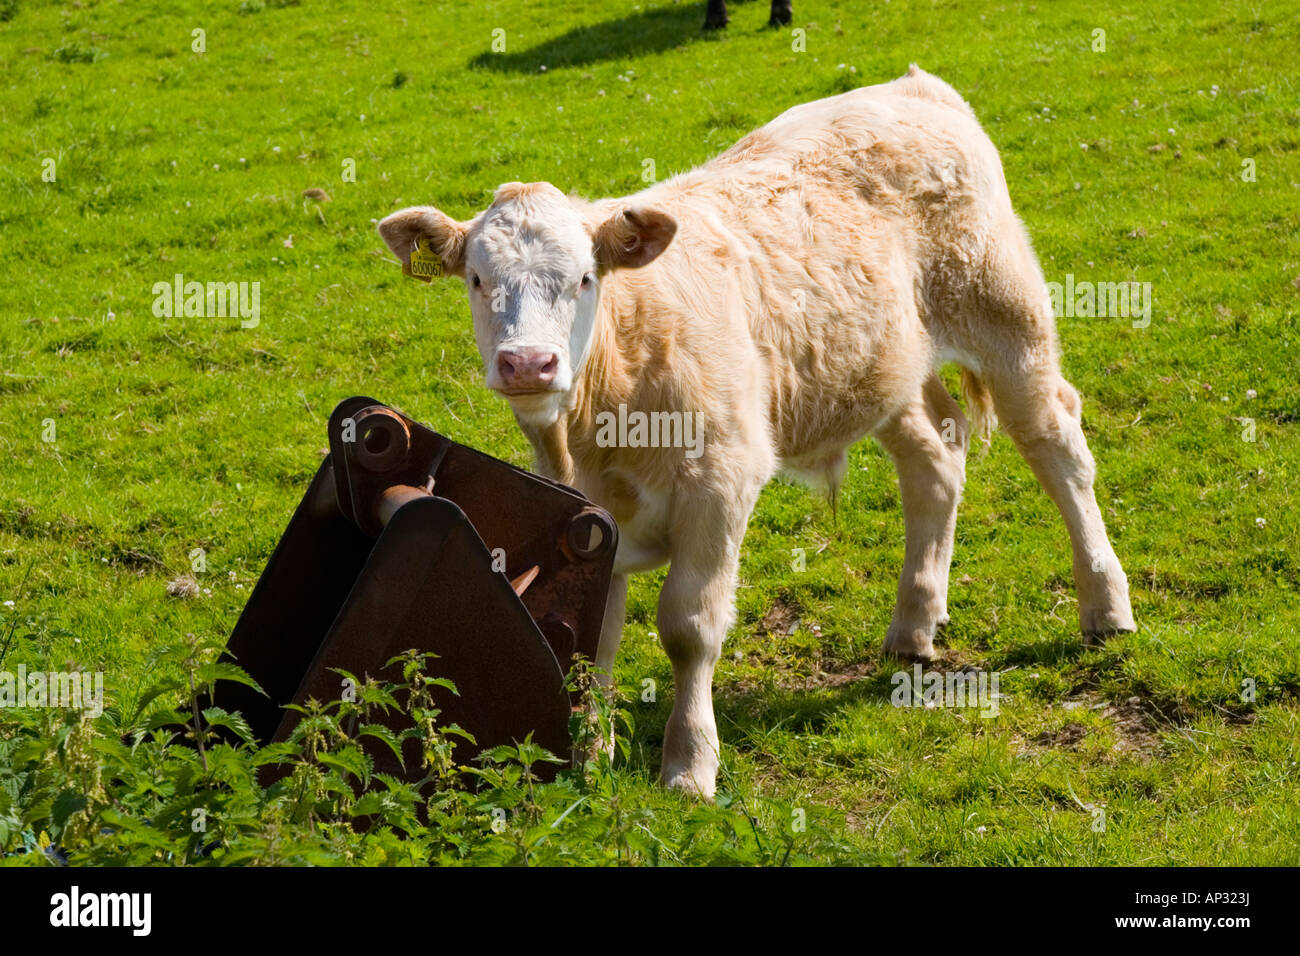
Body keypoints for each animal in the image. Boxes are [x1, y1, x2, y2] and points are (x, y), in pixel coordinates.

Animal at [377, 65, 1136, 798]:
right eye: (477, 279)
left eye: (586, 278)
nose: (528, 363)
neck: (605, 408)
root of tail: (915, 88)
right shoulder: (589, 521)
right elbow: (597, 641)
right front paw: (589, 758)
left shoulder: (719, 483)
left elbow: (689, 629)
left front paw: (689, 766)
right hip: (882, 371)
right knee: (936, 462)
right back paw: (913, 625)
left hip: (1009, 324)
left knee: (1059, 451)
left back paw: (1105, 605)